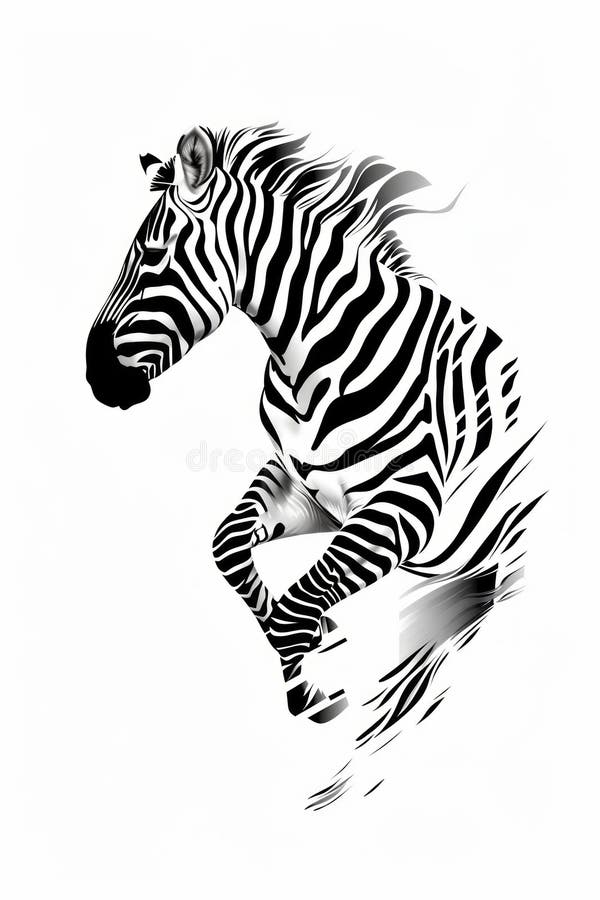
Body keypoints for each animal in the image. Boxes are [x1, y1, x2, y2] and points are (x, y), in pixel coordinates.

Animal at [86, 123, 541, 728]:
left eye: (152, 257)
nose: (92, 374)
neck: (317, 365)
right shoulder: (307, 488)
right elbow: (229, 547)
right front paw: (314, 643)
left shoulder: (405, 509)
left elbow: (298, 604)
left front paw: (310, 684)